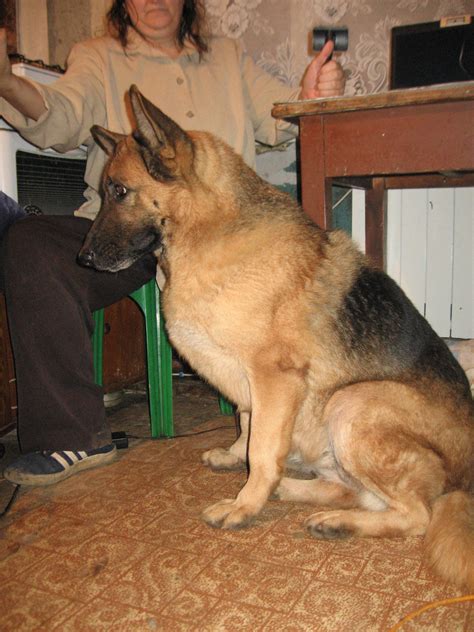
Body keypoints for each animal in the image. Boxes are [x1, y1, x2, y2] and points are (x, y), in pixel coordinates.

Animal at [78, 85, 474, 591]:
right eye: (105, 191)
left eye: (119, 192)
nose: (83, 259)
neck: (210, 230)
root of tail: (465, 479)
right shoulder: (251, 386)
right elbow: (247, 427)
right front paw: (237, 462)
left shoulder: (274, 378)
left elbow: (263, 450)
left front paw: (246, 504)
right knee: (356, 492)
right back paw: (302, 495)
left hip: (353, 403)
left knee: (417, 516)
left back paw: (329, 515)